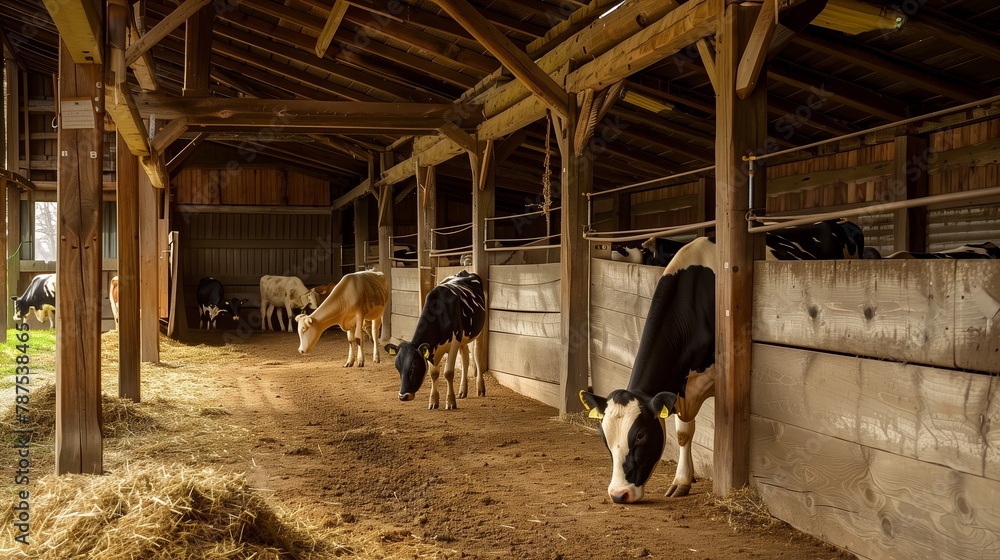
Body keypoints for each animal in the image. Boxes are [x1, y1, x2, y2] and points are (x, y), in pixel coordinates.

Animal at [385, 270, 487, 410]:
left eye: (413, 367)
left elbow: (448, 372)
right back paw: (462, 391)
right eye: (397, 367)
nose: (403, 396)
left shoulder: (454, 343)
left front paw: (450, 402)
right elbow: (434, 373)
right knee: (465, 358)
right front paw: (433, 401)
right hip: (464, 337)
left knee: (477, 354)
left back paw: (481, 388)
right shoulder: (432, 347)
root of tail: (464, 272)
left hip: (478, 331)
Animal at [580, 220, 863, 504]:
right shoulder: (681, 387)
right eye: (604, 437)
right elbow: (683, 433)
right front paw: (683, 481)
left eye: (640, 435)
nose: (619, 494)